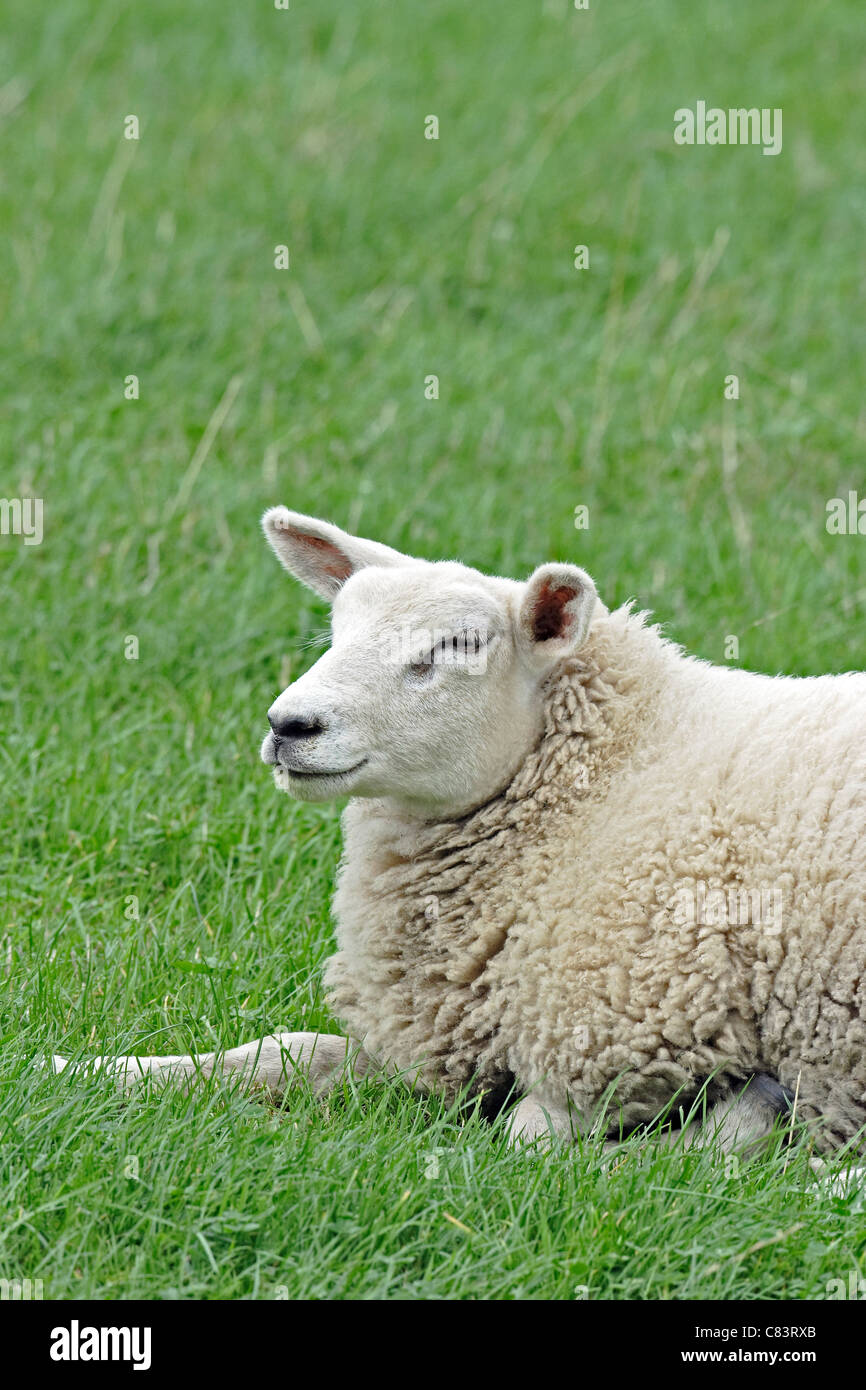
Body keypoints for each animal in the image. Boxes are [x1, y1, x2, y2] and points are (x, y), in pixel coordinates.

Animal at [58, 509, 866, 1157]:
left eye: (457, 647)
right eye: (336, 630)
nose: (290, 725)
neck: (600, 782)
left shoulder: (611, 1043)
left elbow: (527, 1142)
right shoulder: (439, 1036)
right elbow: (282, 1053)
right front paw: (86, 1071)